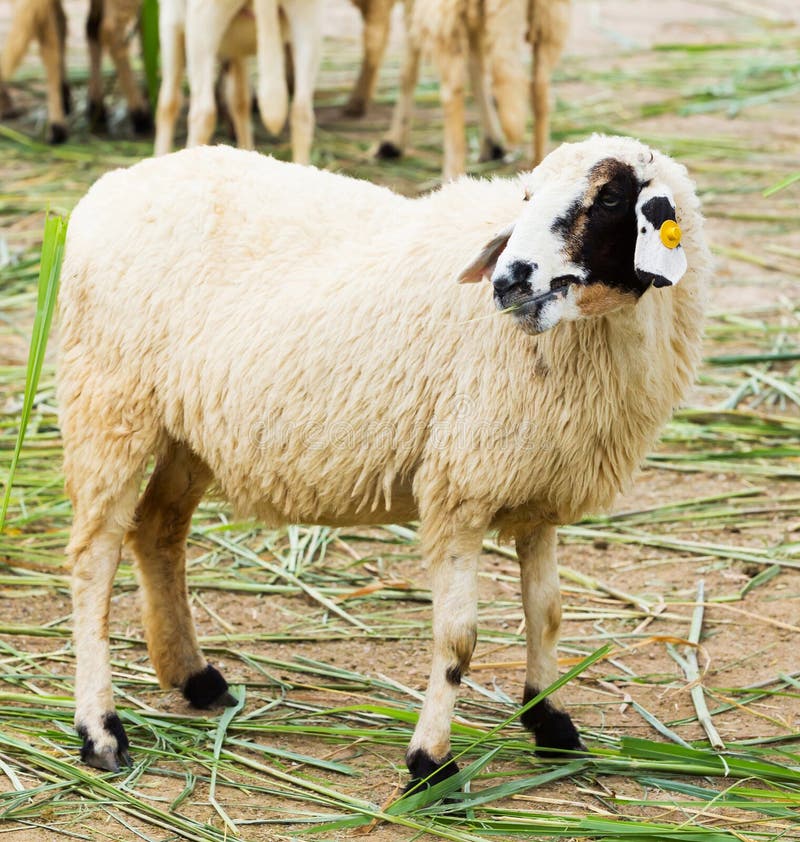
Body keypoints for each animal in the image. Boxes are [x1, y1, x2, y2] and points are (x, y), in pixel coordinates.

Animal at [58, 135, 709, 786]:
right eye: (526, 196)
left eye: (610, 199)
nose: (508, 282)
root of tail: (110, 187)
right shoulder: (459, 486)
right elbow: (458, 638)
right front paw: (430, 764)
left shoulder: (535, 484)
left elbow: (547, 612)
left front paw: (551, 724)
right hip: (108, 403)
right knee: (95, 558)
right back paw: (101, 731)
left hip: (186, 430)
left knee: (157, 531)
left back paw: (194, 677)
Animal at [377, 0, 571, 180]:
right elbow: (477, 62)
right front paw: (492, 144)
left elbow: (408, 67)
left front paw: (393, 142)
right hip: (548, 15)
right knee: (540, 90)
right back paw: (541, 167)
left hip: (445, 12)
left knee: (453, 90)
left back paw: (451, 178)